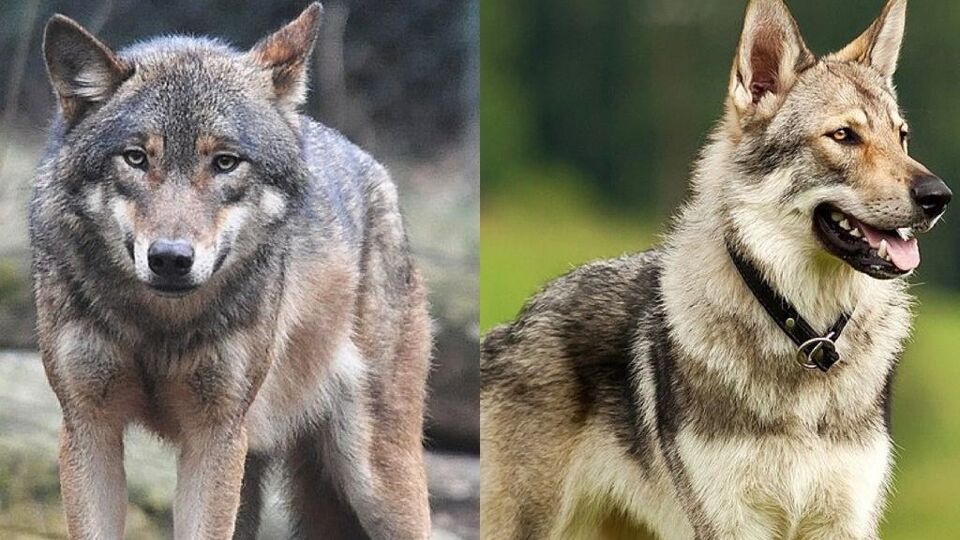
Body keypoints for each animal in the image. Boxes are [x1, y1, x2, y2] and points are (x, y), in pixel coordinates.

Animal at [30, 4, 432, 539]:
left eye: (225, 162)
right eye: (136, 158)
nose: (170, 258)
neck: (159, 326)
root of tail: (376, 171)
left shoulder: (216, 436)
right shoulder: (88, 426)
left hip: (376, 481)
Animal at [481, 0, 952, 538]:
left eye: (901, 137)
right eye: (843, 136)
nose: (938, 196)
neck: (805, 335)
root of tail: (512, 326)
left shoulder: (844, 520)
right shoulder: (731, 522)